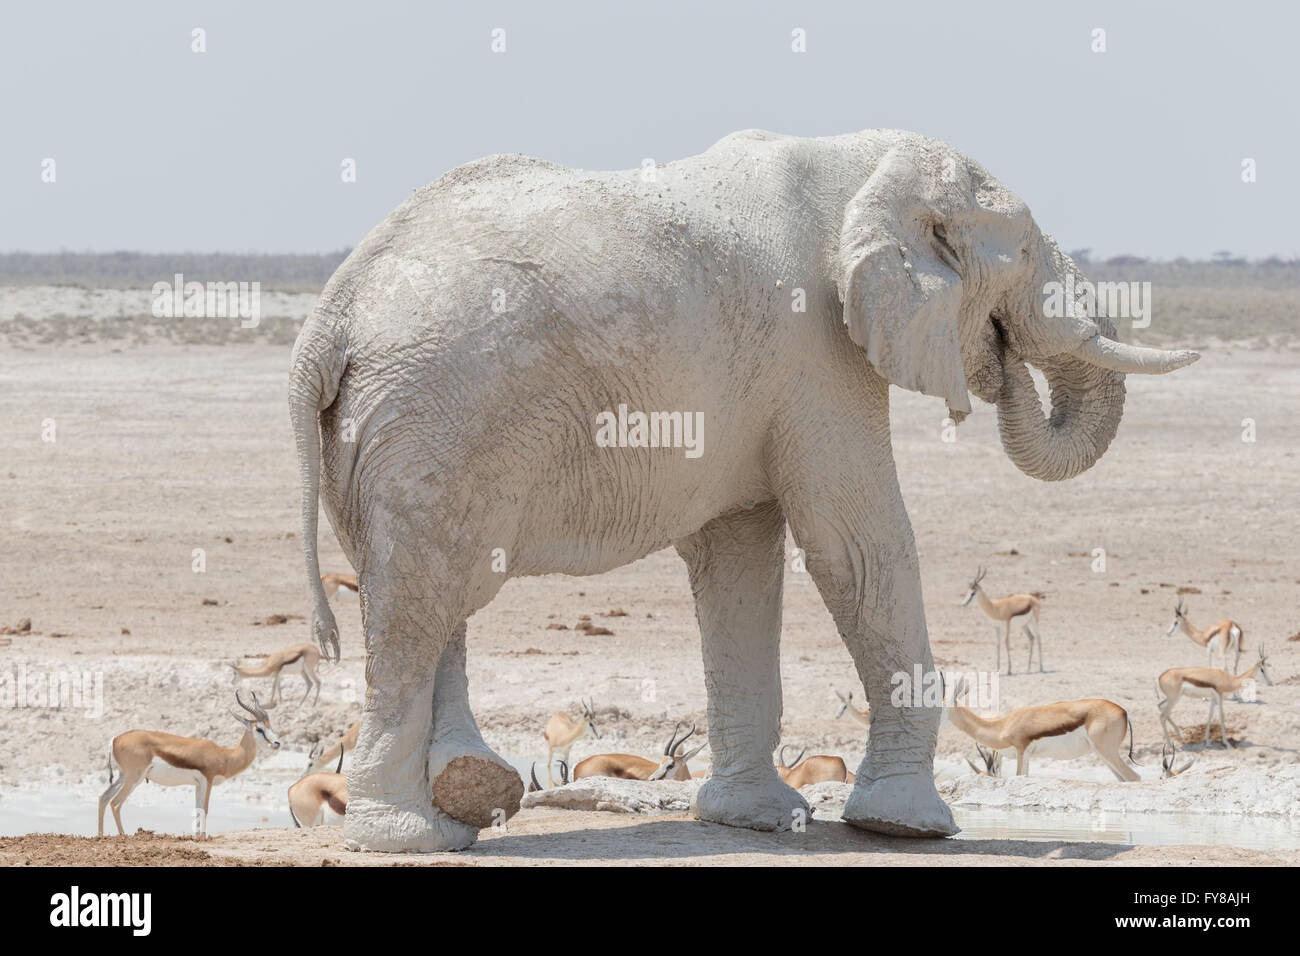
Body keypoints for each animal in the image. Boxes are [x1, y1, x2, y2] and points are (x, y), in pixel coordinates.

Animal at [289, 128, 1198, 851]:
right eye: (1025, 255)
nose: (1001, 366)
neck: (864, 161)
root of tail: (330, 314)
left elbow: (739, 561)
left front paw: (754, 820)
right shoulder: (817, 347)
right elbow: (854, 543)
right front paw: (907, 827)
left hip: (388, 433)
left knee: (434, 587)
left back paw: (464, 804)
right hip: (427, 417)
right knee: (424, 597)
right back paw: (408, 836)